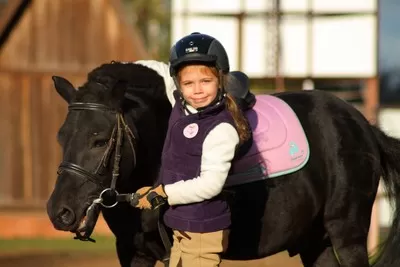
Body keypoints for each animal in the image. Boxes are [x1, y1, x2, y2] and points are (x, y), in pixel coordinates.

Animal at [47, 61, 400, 266]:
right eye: (61, 137)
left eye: (99, 140)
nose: (59, 211)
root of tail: (361, 124)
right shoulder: (133, 253)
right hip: (317, 242)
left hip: (347, 236)